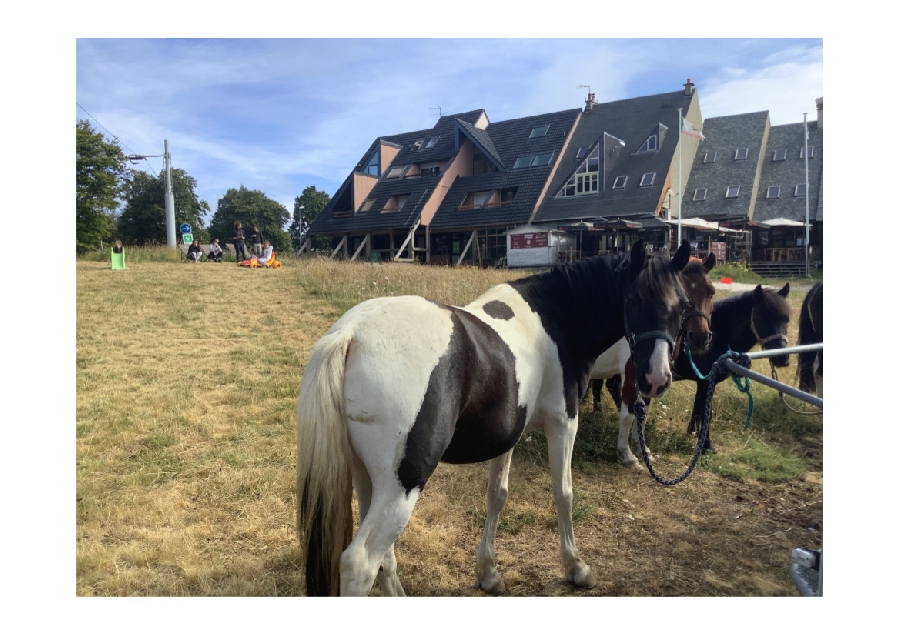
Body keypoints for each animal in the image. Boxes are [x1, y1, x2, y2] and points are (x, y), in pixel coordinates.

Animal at [296, 238, 688, 596]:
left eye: (682, 305)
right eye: (633, 300)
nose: (656, 378)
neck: (556, 319)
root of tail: (352, 334)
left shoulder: (508, 435)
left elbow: (496, 494)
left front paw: (488, 573)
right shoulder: (564, 422)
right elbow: (563, 492)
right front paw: (576, 567)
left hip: (368, 478)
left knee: (384, 557)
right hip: (401, 485)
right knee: (360, 563)